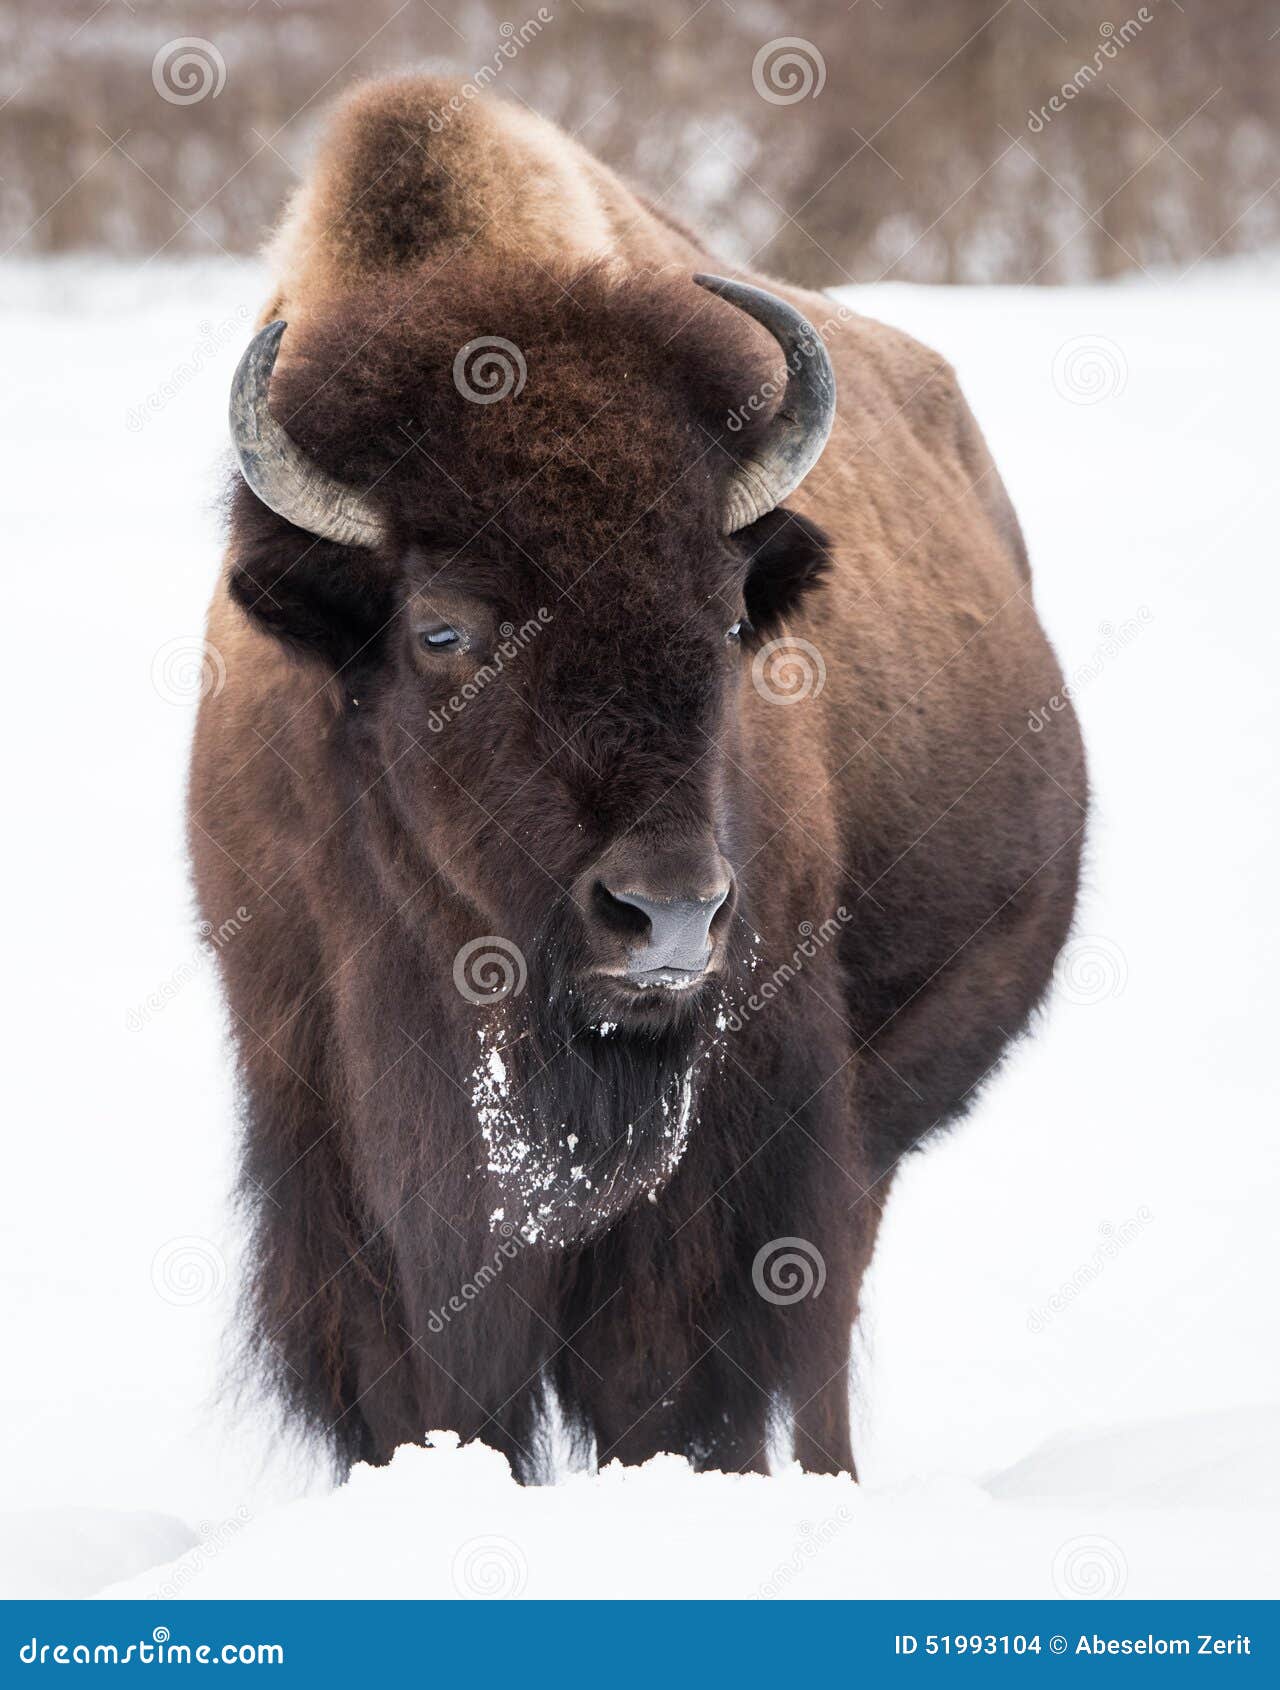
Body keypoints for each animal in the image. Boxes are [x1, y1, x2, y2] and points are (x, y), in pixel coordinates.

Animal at [189, 75, 1086, 1480]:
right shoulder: (332, 1127)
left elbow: (669, 1377)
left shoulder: (733, 1135)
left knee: (827, 1324)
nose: (664, 915)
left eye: (725, 616)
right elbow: (430, 1380)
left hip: (873, 1120)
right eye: (441, 629)